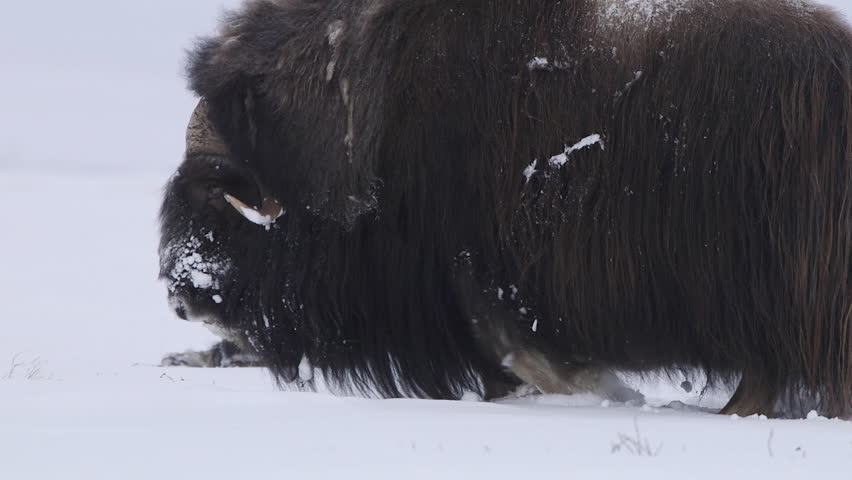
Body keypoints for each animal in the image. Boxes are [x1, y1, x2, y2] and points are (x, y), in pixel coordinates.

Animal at [159, 0, 852, 418]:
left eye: (214, 188)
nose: (181, 297)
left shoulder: (467, 268)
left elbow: (512, 351)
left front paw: (600, 390)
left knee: (765, 370)